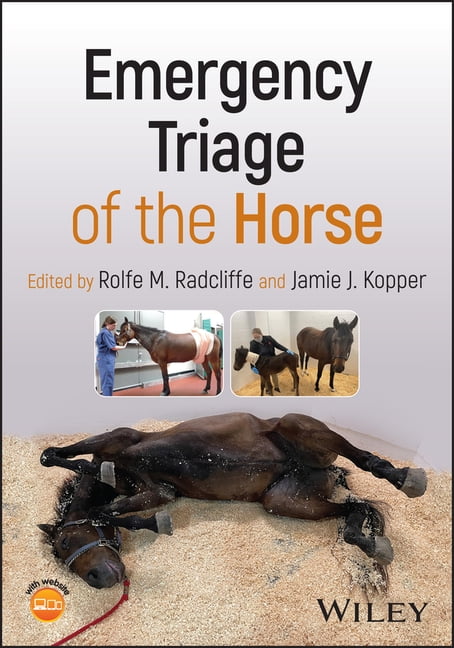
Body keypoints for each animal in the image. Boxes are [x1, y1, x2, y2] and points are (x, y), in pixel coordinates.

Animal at [39, 412, 427, 589]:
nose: (99, 579)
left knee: (364, 460)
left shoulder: (118, 440)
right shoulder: (158, 491)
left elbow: (54, 457)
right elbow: (109, 510)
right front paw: (153, 520)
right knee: (355, 508)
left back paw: (406, 478)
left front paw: (92, 470)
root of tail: (322, 470)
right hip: (284, 500)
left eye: (65, 542)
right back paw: (370, 542)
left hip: (298, 426)